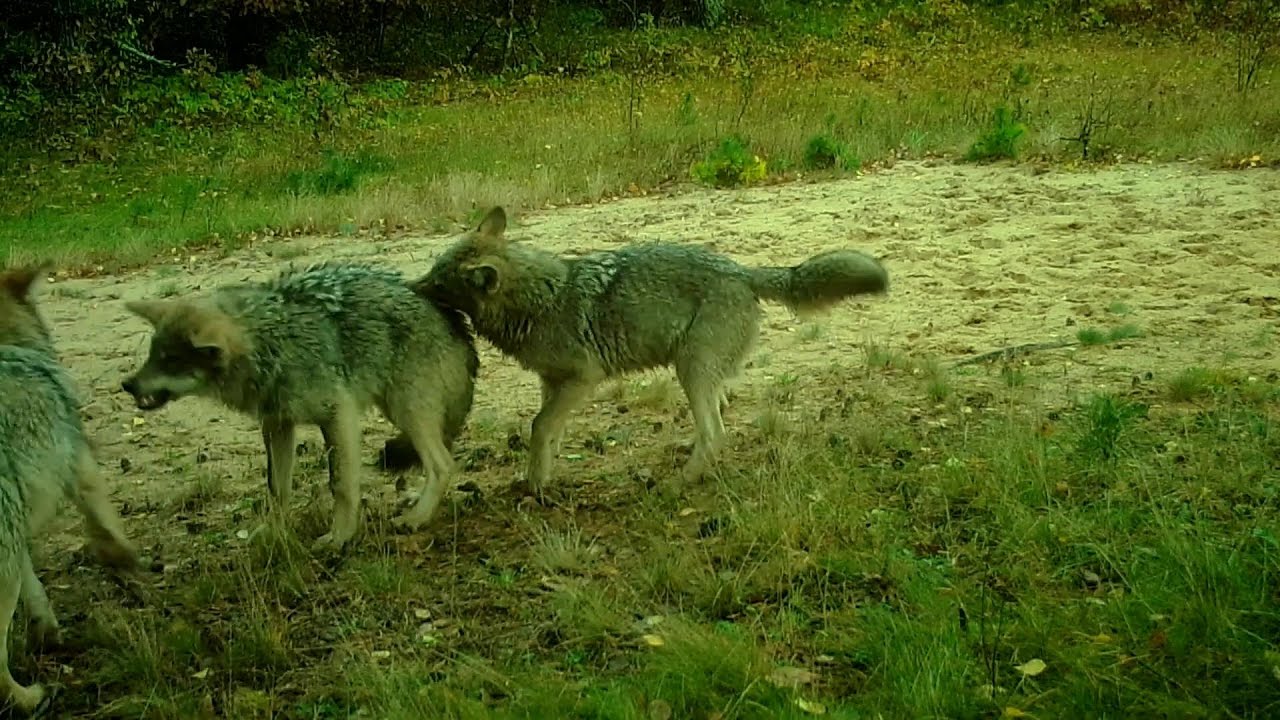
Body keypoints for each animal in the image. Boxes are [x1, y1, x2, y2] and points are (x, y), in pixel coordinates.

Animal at [0, 264, 141, 715]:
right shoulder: (81, 466)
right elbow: (108, 526)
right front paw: (128, 560)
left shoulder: (16, 544)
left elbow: (36, 590)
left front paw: (47, 633)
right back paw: (31, 699)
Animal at [120, 262, 479, 552]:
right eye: (152, 355)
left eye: (171, 361)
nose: (128, 385)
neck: (272, 344)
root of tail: (457, 322)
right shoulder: (277, 424)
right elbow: (277, 488)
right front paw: (274, 533)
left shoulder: (338, 415)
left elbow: (341, 485)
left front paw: (340, 537)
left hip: (406, 412)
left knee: (443, 464)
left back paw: (417, 517)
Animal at [394, 206, 889, 497]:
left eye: (437, 279)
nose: (407, 285)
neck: (540, 299)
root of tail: (741, 270)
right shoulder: (552, 382)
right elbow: (549, 431)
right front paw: (541, 474)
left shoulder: (583, 378)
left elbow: (538, 426)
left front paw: (535, 486)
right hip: (701, 374)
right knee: (717, 421)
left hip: (689, 370)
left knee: (716, 433)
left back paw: (681, 482)